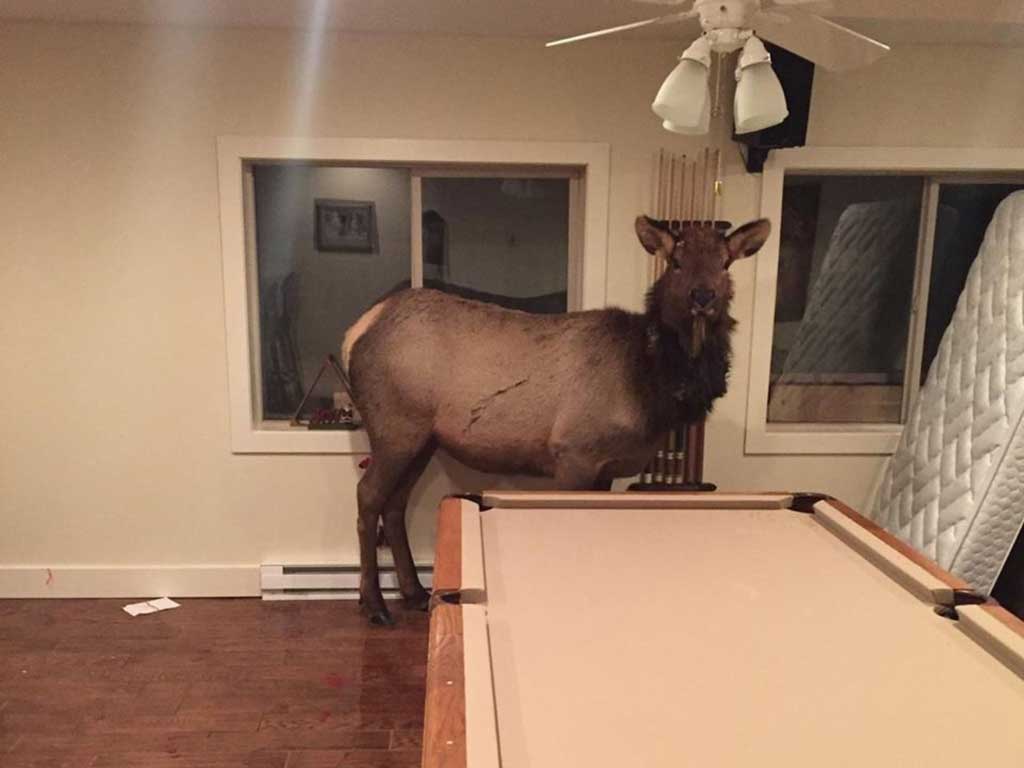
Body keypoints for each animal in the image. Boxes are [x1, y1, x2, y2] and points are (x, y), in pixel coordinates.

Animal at [341, 215, 771, 625]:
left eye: (725, 263)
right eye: (676, 261)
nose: (703, 296)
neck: (651, 384)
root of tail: (357, 331)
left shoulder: (605, 465)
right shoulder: (573, 454)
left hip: (422, 439)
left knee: (395, 503)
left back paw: (413, 592)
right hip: (396, 427)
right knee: (368, 495)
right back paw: (374, 604)